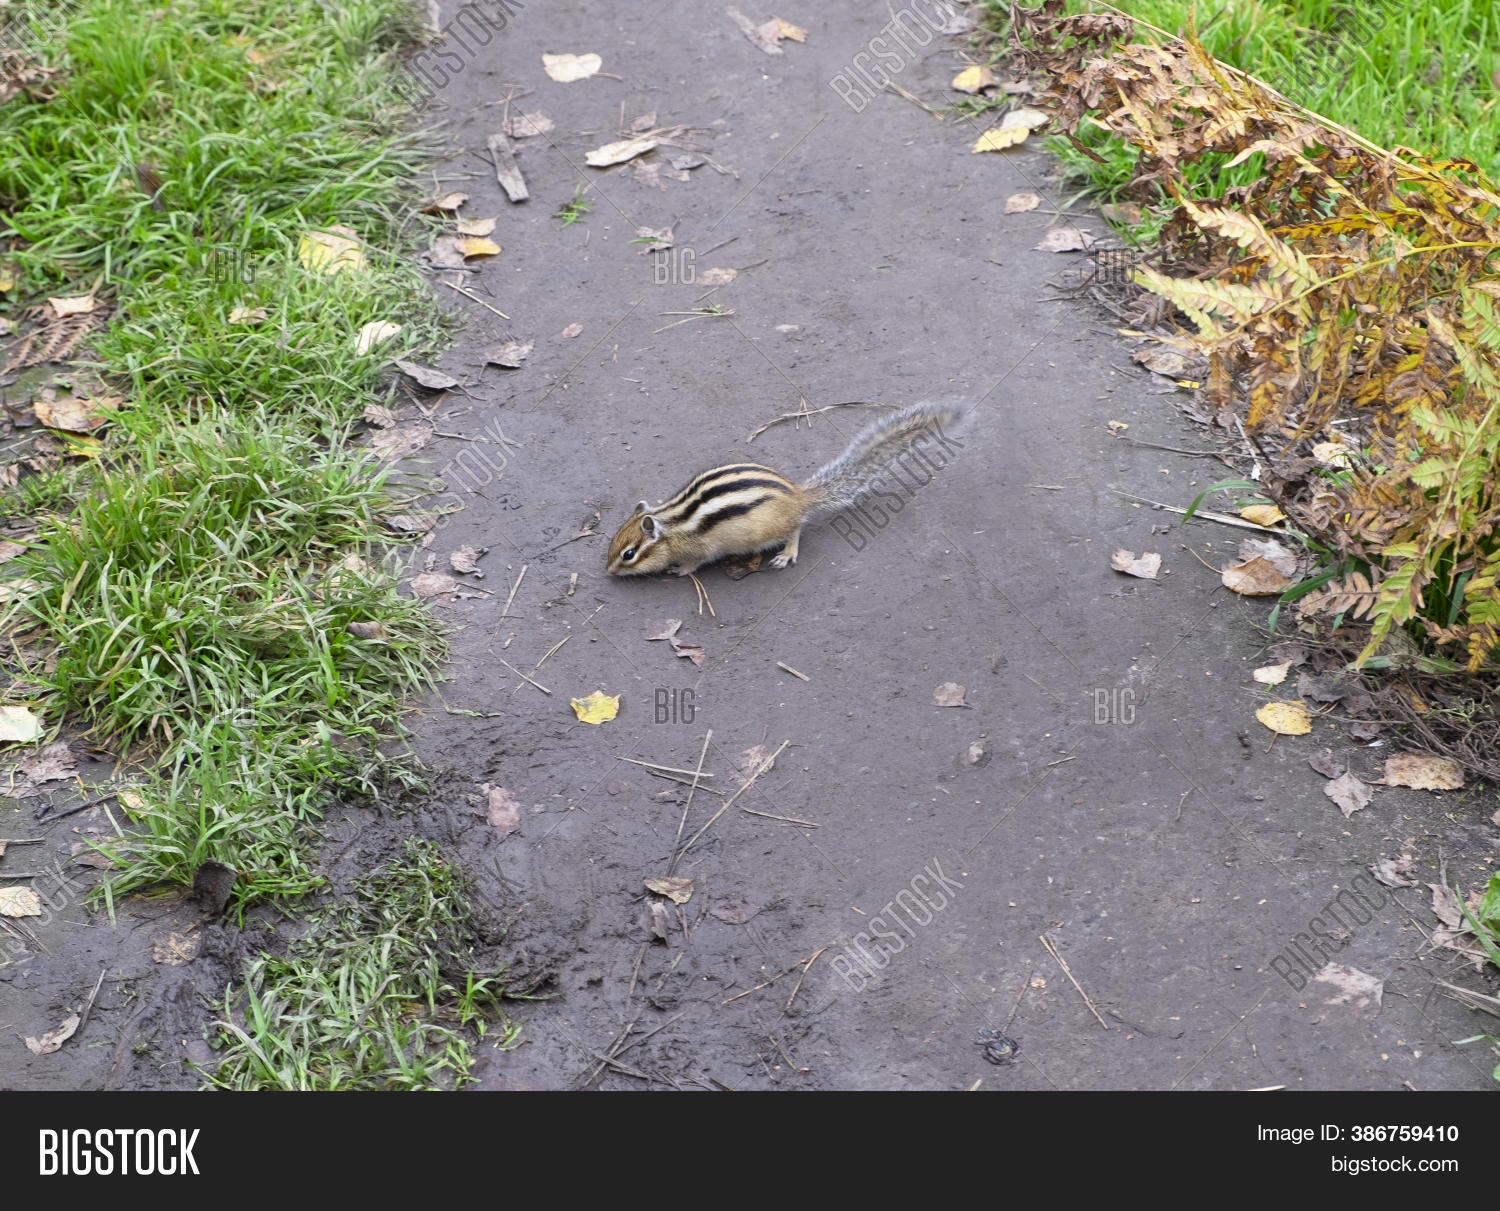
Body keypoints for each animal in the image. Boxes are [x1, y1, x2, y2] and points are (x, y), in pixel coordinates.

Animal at [606, 402, 966, 576]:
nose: (609, 571)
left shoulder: (700, 550)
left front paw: (679, 570)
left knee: (796, 530)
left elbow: (693, 564)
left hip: (769, 531)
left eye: (628, 554)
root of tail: (798, 497)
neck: (671, 525)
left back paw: (787, 554)